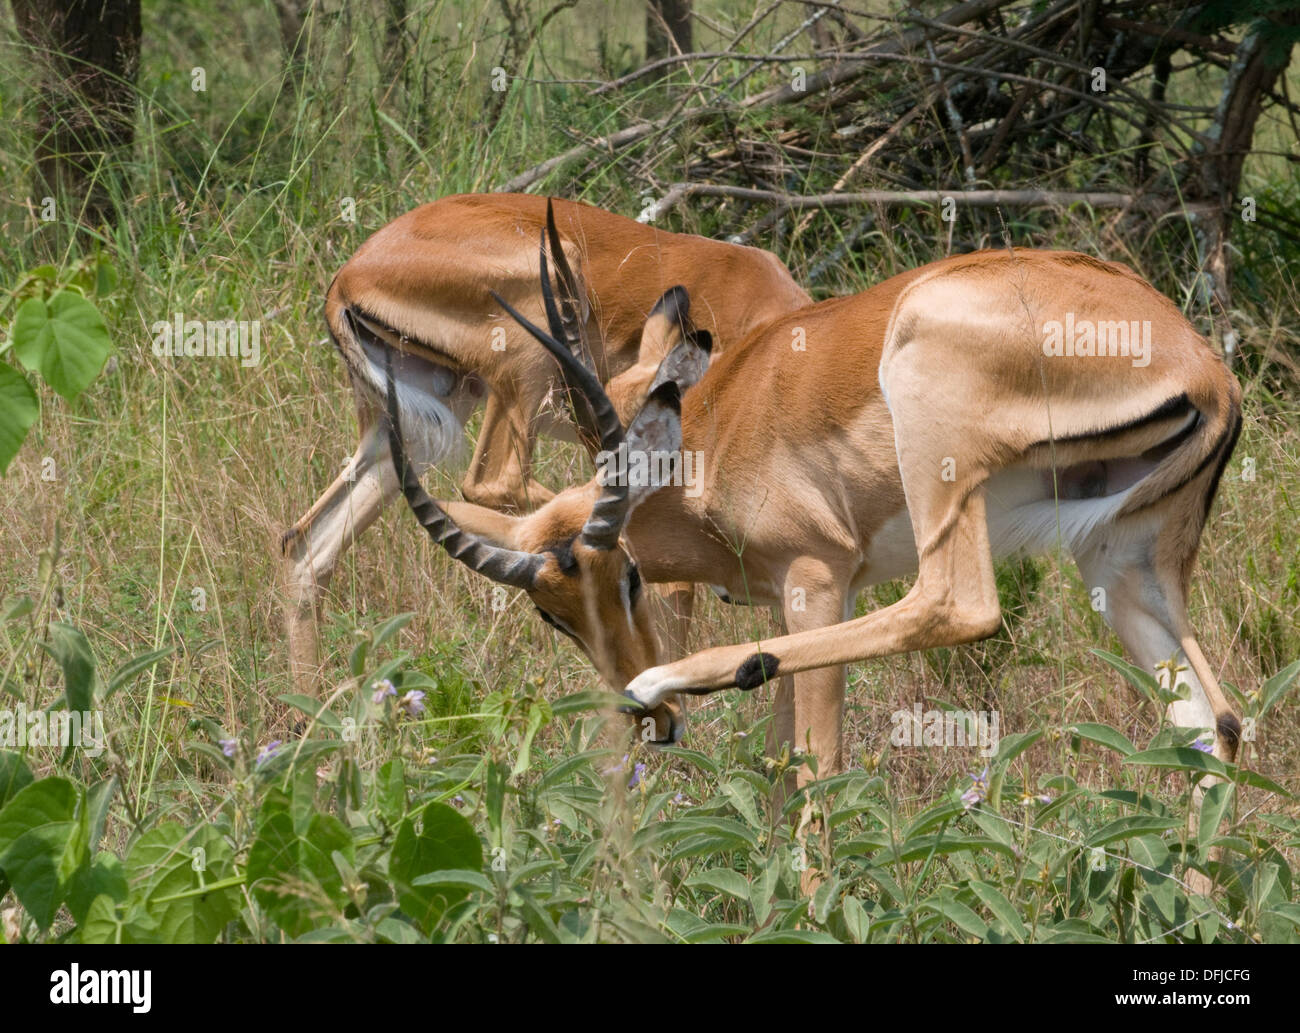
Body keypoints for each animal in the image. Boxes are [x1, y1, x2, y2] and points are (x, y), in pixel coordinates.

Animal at [385, 221, 1244, 795]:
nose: (654, 729)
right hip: (1123, 561)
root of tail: (1205, 368)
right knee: (1216, 725)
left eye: (625, 577)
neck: (716, 428)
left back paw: (674, 675)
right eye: (552, 614)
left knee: (956, 604)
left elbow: (813, 762)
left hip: (942, 458)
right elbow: (773, 761)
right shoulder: (794, 601)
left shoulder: (818, 581)